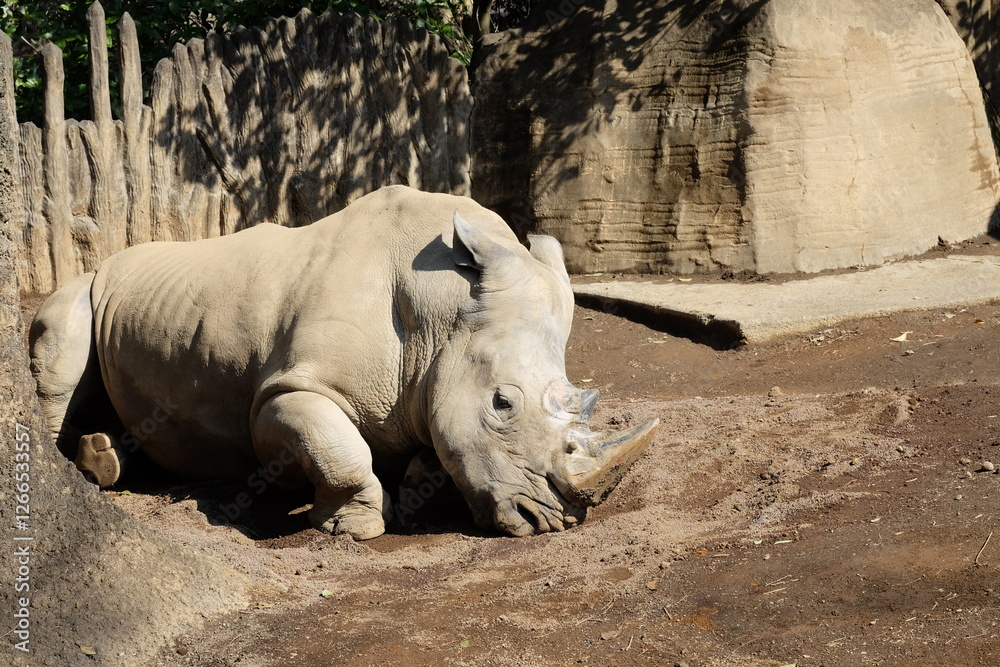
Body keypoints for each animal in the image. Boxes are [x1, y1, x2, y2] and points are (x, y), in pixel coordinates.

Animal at [29, 185, 658, 539]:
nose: (554, 521)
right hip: (83, 286)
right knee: (59, 362)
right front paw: (349, 527)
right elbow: (340, 450)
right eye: (502, 403)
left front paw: (412, 488)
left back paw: (103, 459)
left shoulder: (425, 386)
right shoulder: (287, 392)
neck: (443, 313)